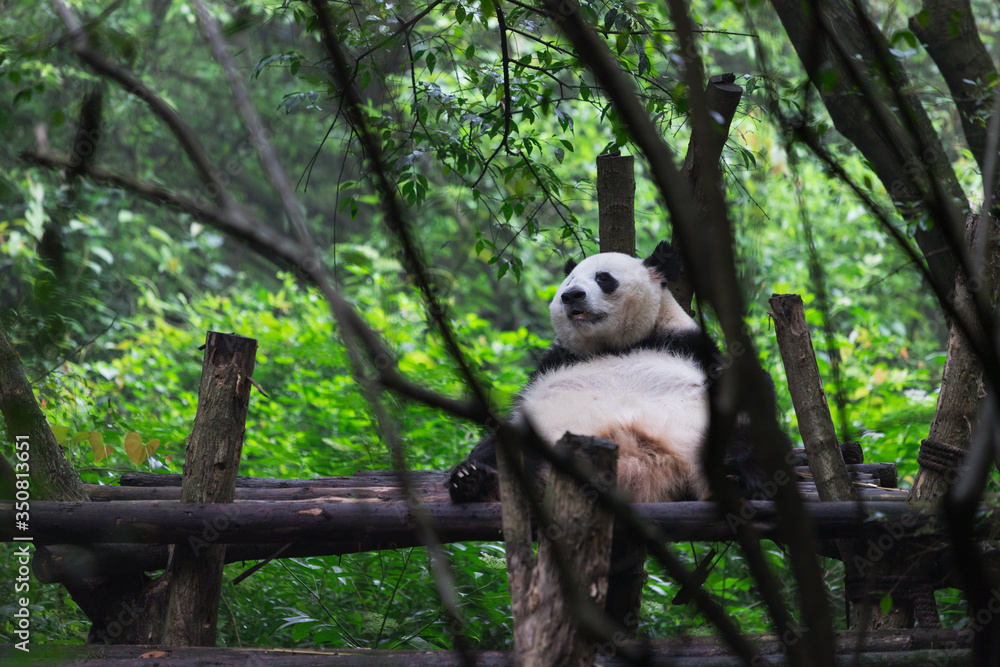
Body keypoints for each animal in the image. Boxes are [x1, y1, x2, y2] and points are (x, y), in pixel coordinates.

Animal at [448, 240, 773, 503]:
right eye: (569, 281)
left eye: (603, 278)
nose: (572, 296)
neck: (612, 345)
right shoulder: (552, 364)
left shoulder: (693, 348)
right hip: (544, 439)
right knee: (503, 446)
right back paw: (471, 480)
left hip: (698, 437)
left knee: (741, 438)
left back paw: (738, 482)